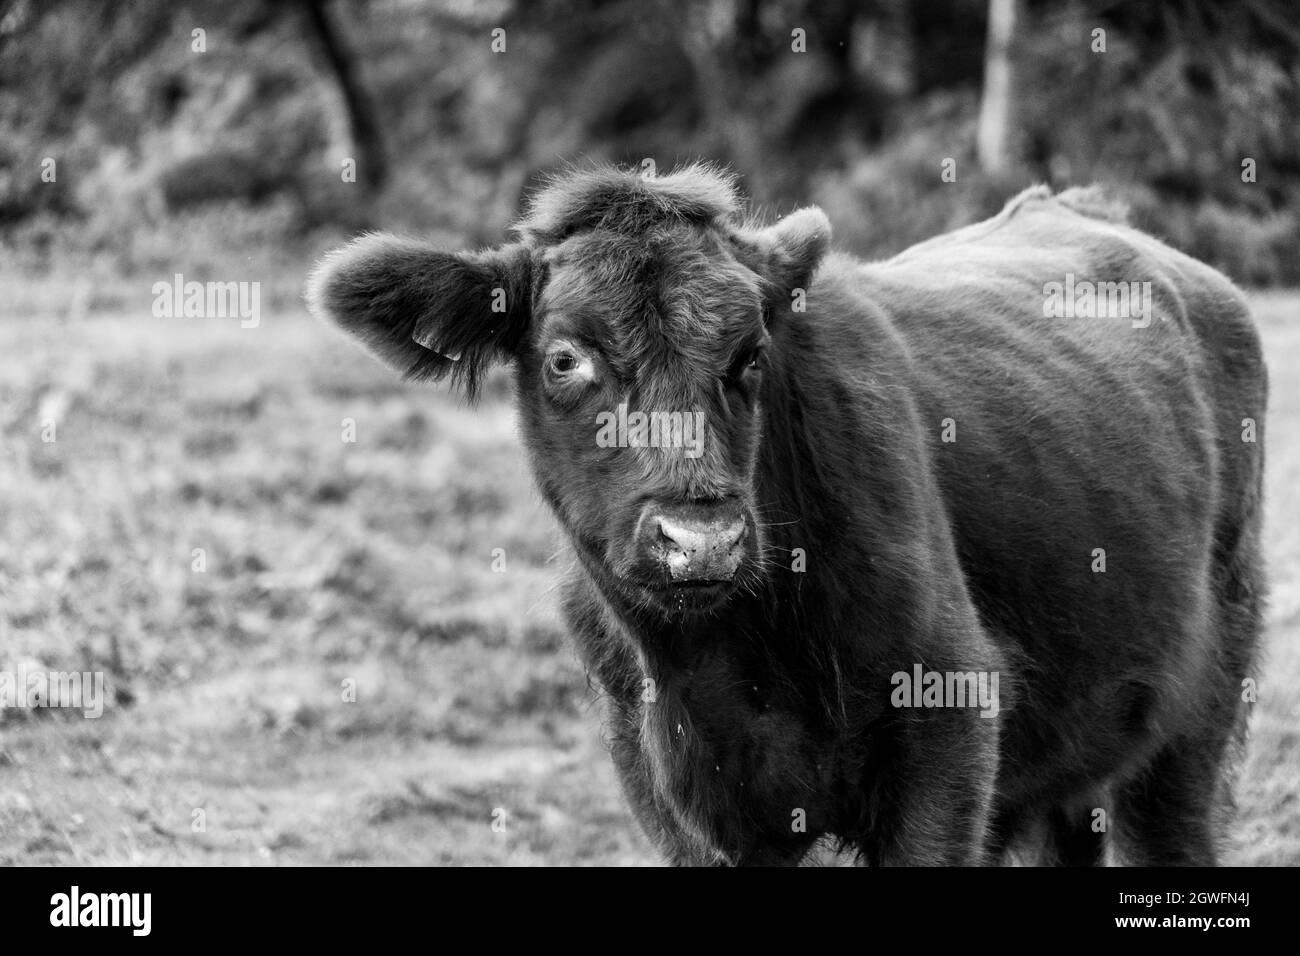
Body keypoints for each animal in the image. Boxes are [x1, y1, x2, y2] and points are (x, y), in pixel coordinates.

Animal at [306, 164, 1267, 866]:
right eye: (565, 357)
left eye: (751, 354)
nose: (700, 542)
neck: (724, 655)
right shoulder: (667, 787)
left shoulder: (948, 726)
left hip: (1198, 712)